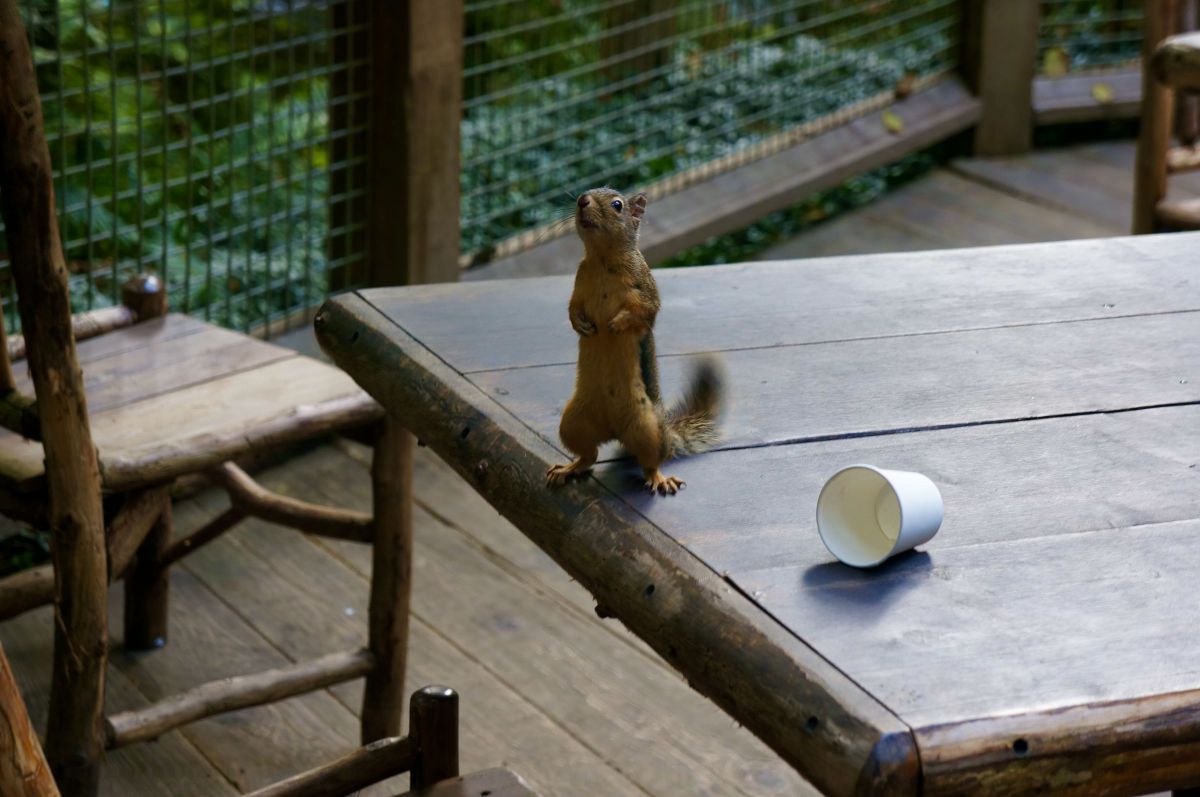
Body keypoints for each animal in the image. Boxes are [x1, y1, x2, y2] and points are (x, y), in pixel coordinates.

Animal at [545, 187, 723, 496]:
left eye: (618, 205)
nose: (581, 200)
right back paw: (570, 467)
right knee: (589, 455)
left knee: (651, 460)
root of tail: (614, 431)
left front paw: (617, 324)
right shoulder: (578, 285)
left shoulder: (645, 287)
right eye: (584, 194)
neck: (602, 259)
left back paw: (659, 478)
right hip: (573, 423)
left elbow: (644, 312)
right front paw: (581, 325)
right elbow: (572, 308)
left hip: (646, 428)